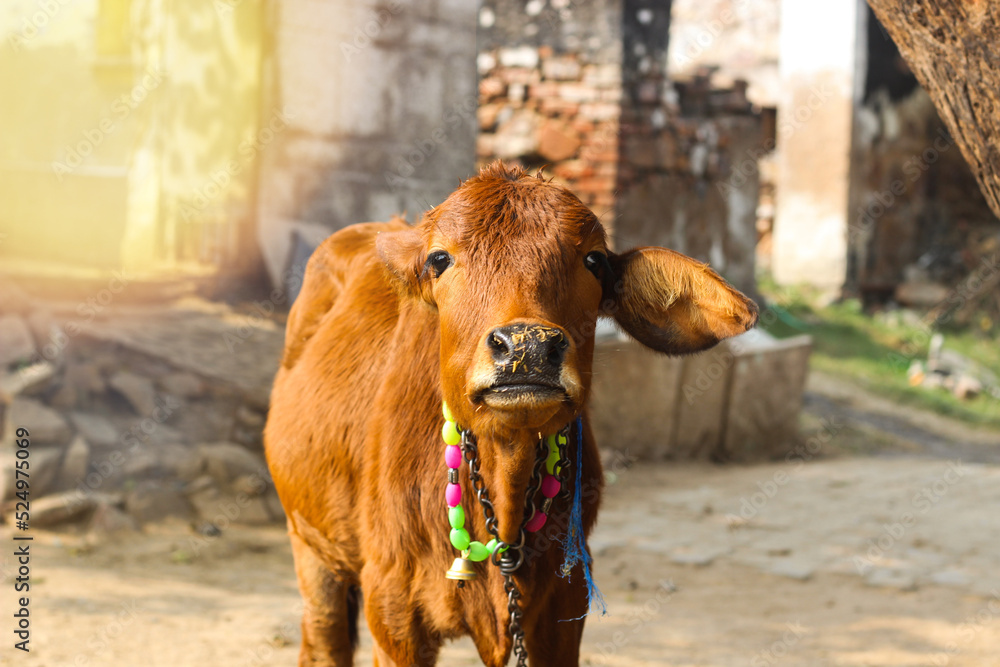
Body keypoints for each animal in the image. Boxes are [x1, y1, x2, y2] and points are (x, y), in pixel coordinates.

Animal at [263, 161, 758, 666]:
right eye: (438, 259)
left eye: (594, 261)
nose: (527, 347)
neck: (506, 483)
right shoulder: (393, 613)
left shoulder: (565, 603)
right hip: (311, 547)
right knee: (323, 636)